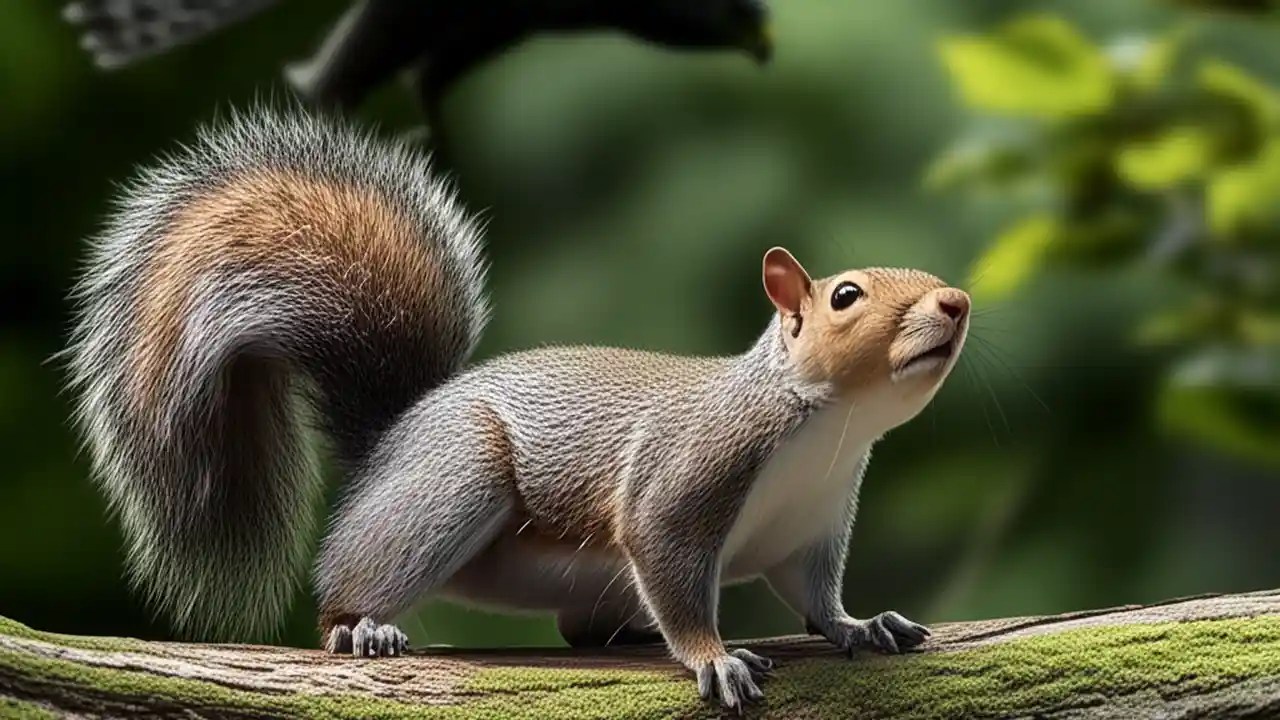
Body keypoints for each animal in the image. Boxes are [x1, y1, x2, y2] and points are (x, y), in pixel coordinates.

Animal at [65, 108, 970, 711]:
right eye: (846, 296)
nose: (957, 301)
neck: (830, 430)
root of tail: (393, 439)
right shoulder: (689, 474)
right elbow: (670, 562)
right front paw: (710, 656)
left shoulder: (810, 526)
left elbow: (815, 596)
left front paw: (861, 625)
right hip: (452, 485)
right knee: (343, 589)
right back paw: (361, 629)